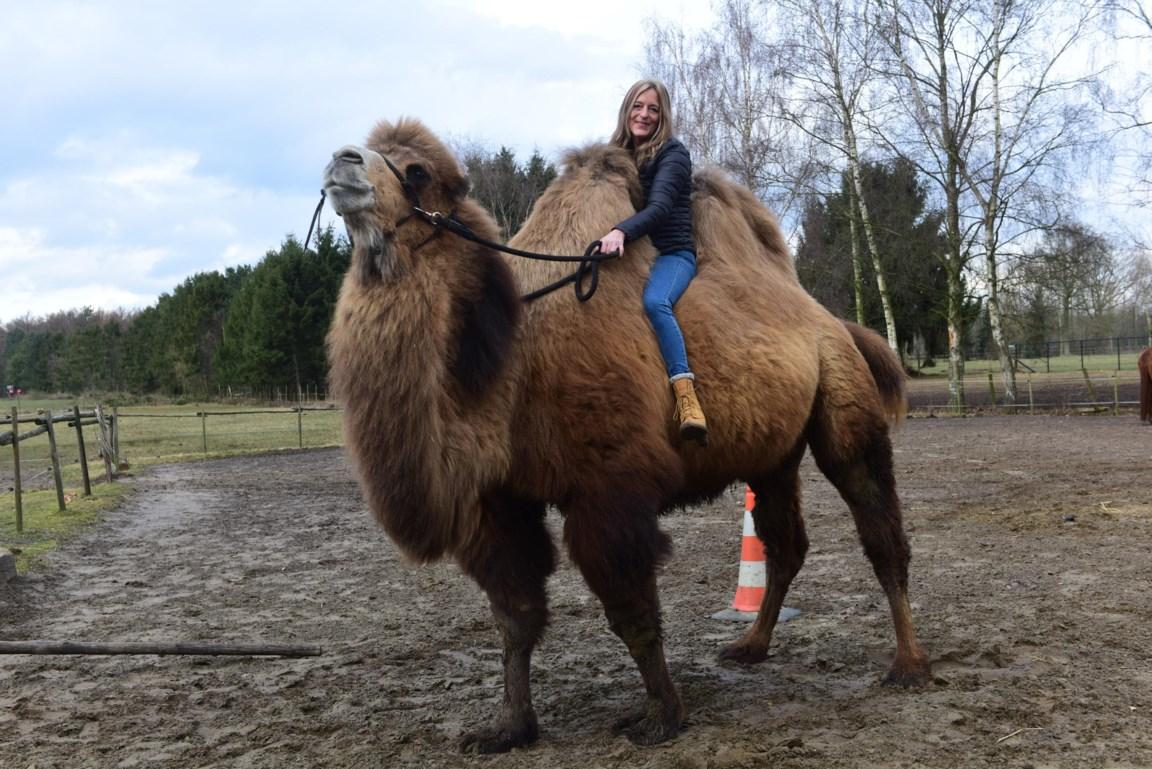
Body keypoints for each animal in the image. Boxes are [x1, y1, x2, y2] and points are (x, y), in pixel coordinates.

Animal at [323, 118, 932, 752]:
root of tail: (835, 322)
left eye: (417, 172)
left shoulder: (608, 488)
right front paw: (508, 727)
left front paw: (661, 715)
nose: (342, 162)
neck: (516, 366)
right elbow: (515, 616)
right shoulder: (499, 502)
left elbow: (630, 610)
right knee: (785, 543)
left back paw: (909, 665)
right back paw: (750, 646)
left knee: (880, 530)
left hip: (845, 406)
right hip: (774, 455)